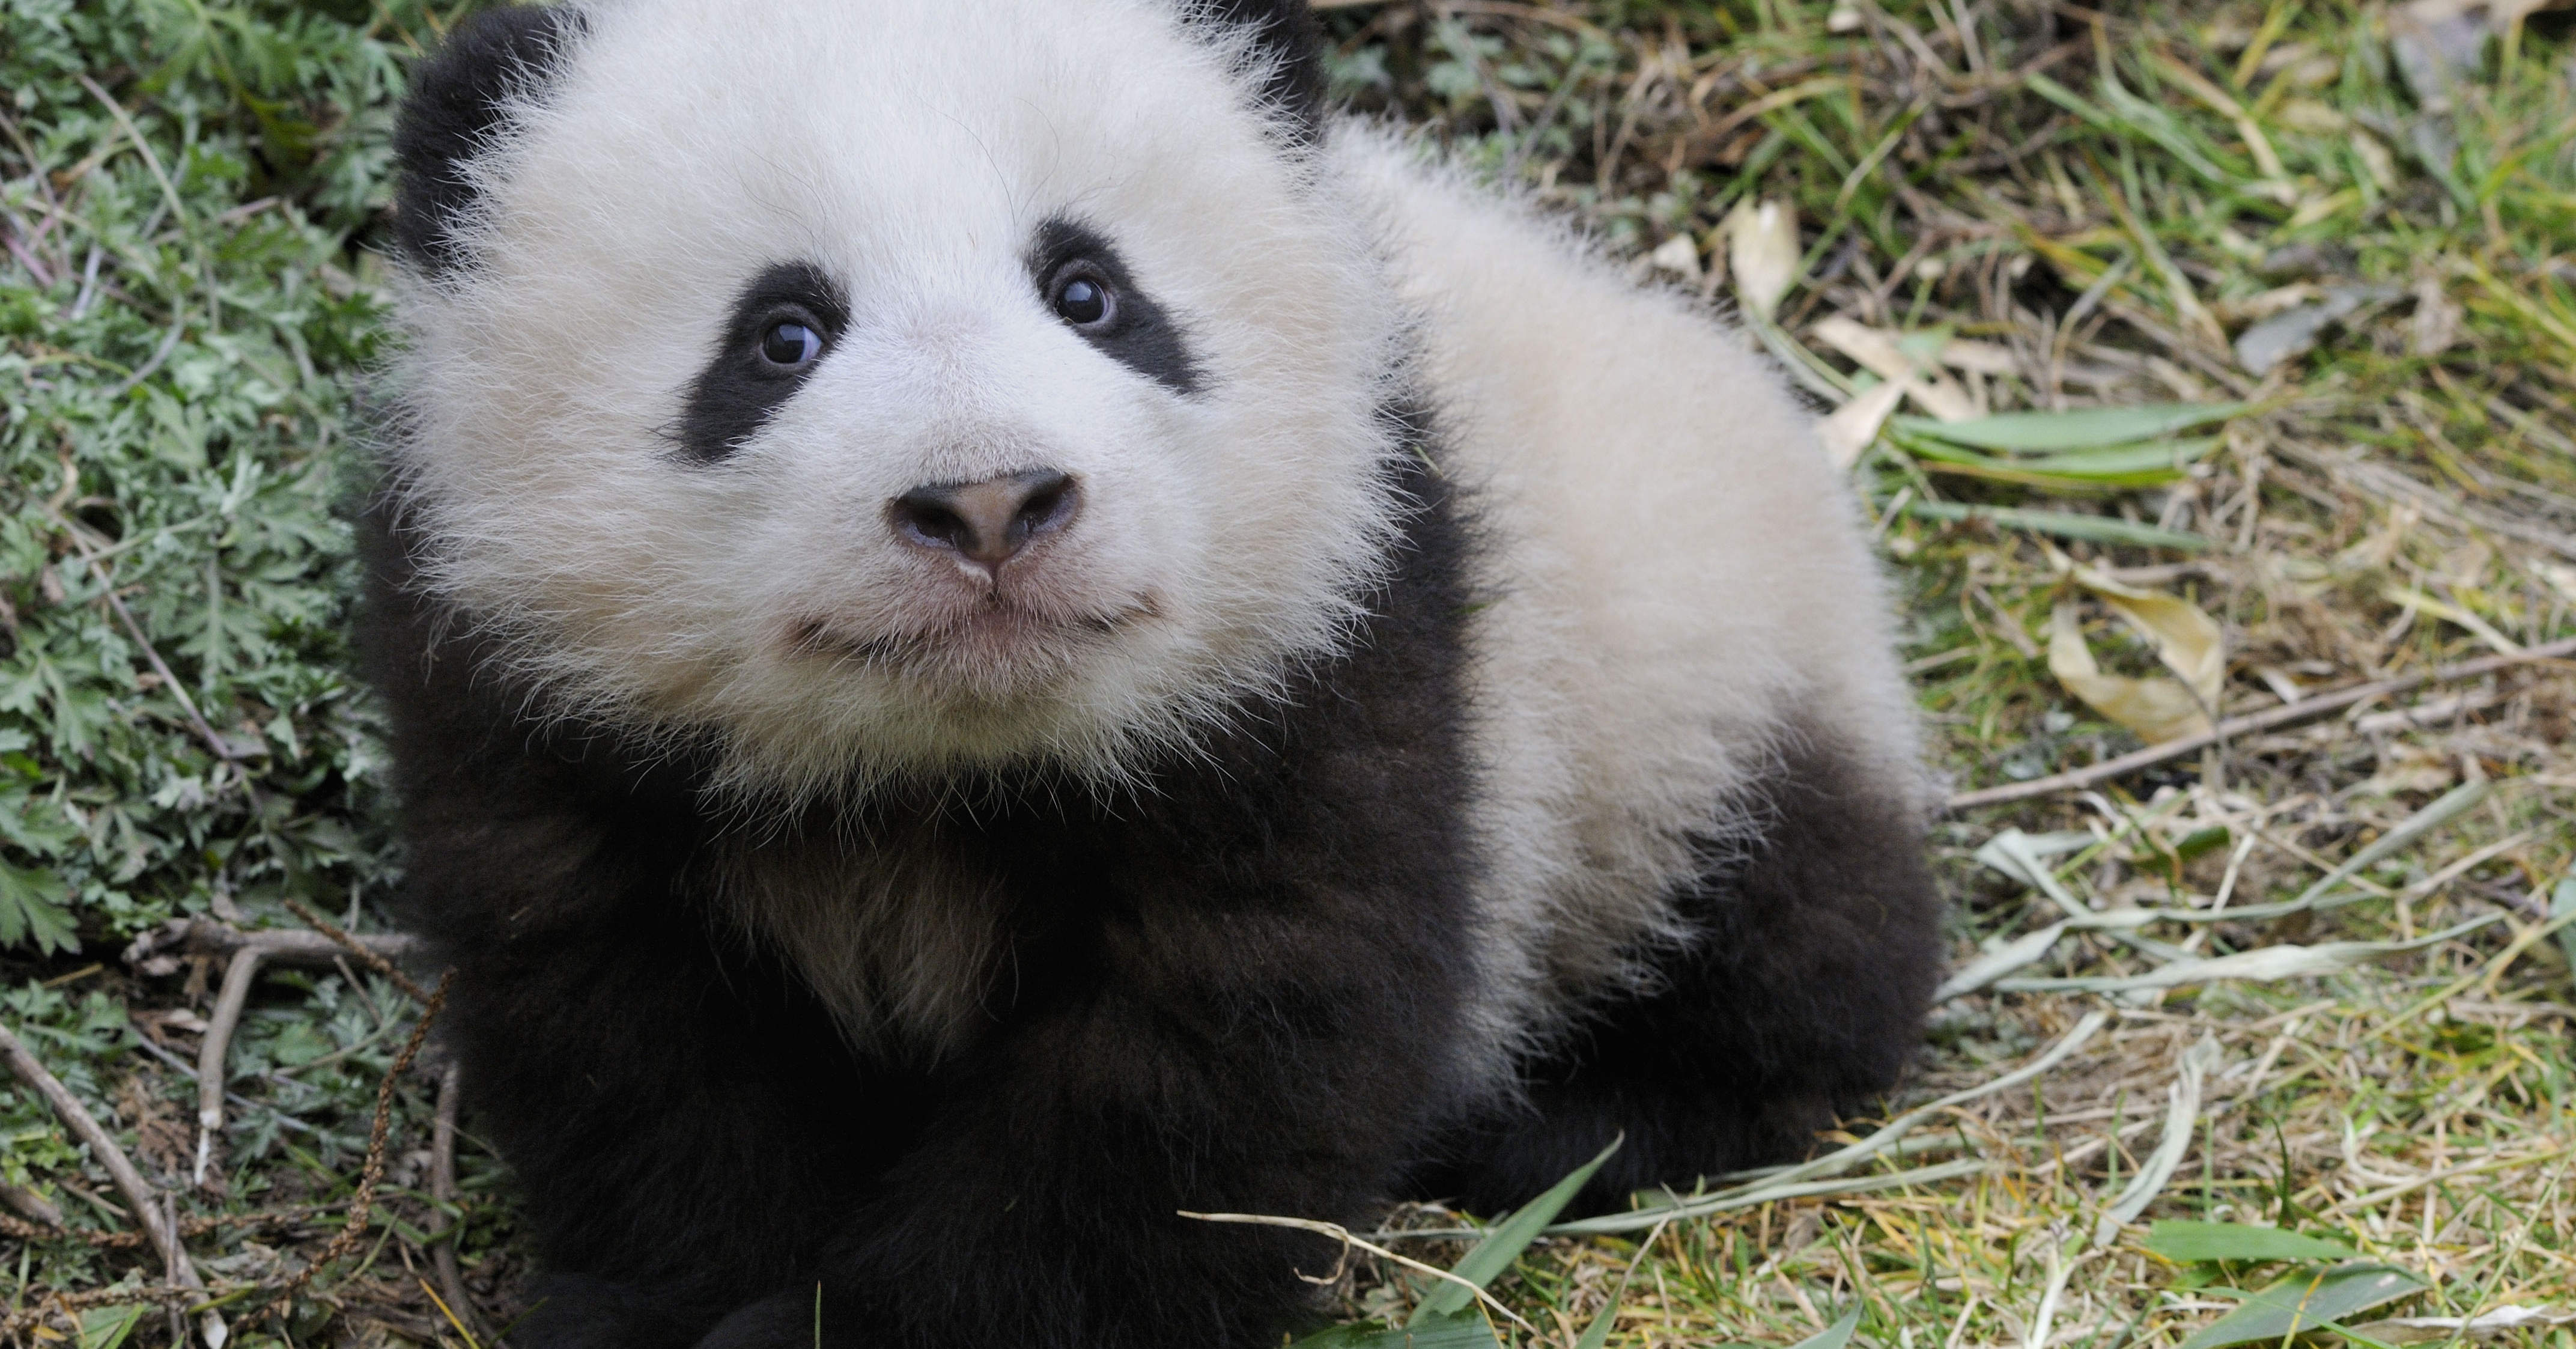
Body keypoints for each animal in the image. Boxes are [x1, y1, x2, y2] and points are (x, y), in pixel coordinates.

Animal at [363, 0, 1943, 1345]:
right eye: (781, 336)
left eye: (1090, 291)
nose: (989, 501)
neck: (943, 764)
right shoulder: (526, 698)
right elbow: (630, 1037)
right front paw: (683, 1300)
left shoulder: (1342, 636)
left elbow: (1210, 1063)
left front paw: (877, 1323)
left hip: (1686, 667)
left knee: (1786, 933)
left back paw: (1571, 1117)